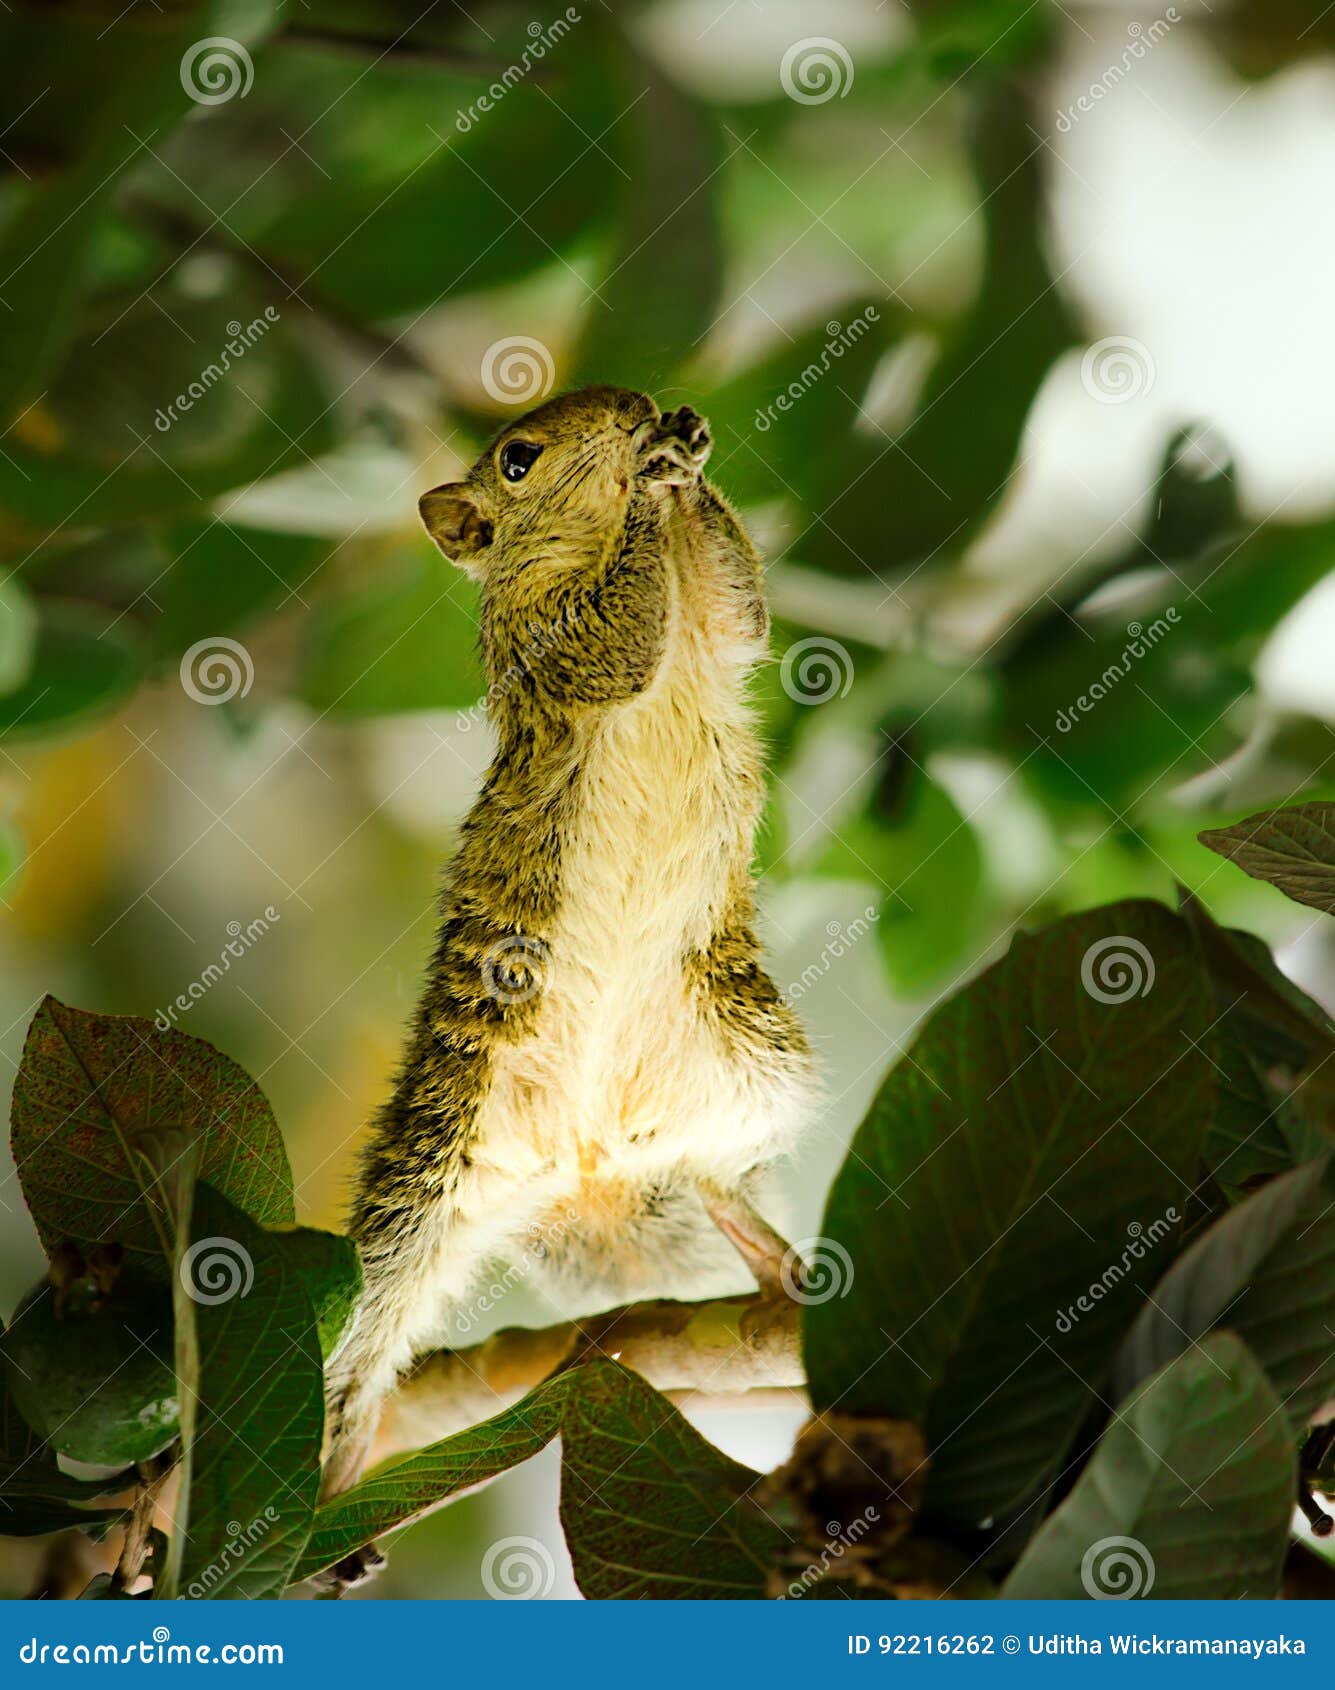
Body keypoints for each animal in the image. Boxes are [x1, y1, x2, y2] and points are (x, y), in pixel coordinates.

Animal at [321, 385, 817, 1531]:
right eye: (517, 458)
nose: (638, 409)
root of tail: (584, 1160)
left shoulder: (716, 633)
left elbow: (739, 603)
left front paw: (685, 465)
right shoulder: (545, 643)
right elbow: (612, 637)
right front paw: (649, 486)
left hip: (749, 1063)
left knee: (712, 1168)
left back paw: (769, 1260)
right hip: (434, 1165)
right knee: (375, 1314)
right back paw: (344, 1444)